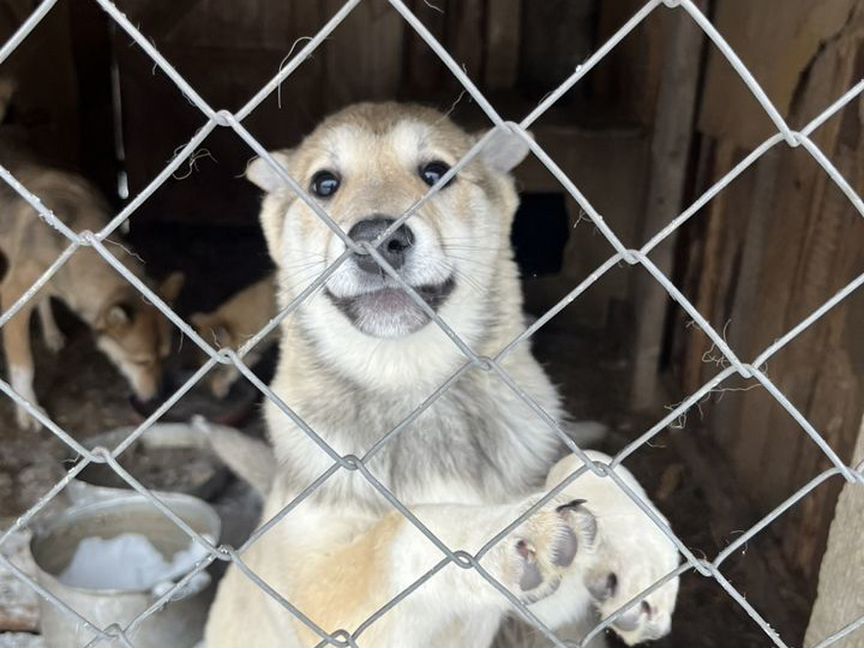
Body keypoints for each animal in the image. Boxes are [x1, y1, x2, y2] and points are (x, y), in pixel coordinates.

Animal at [202, 104, 676, 644]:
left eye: (436, 173)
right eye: (325, 184)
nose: (376, 239)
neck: (414, 391)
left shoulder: (541, 608)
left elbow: (592, 461)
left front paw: (641, 550)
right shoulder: (322, 601)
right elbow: (404, 531)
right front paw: (506, 534)